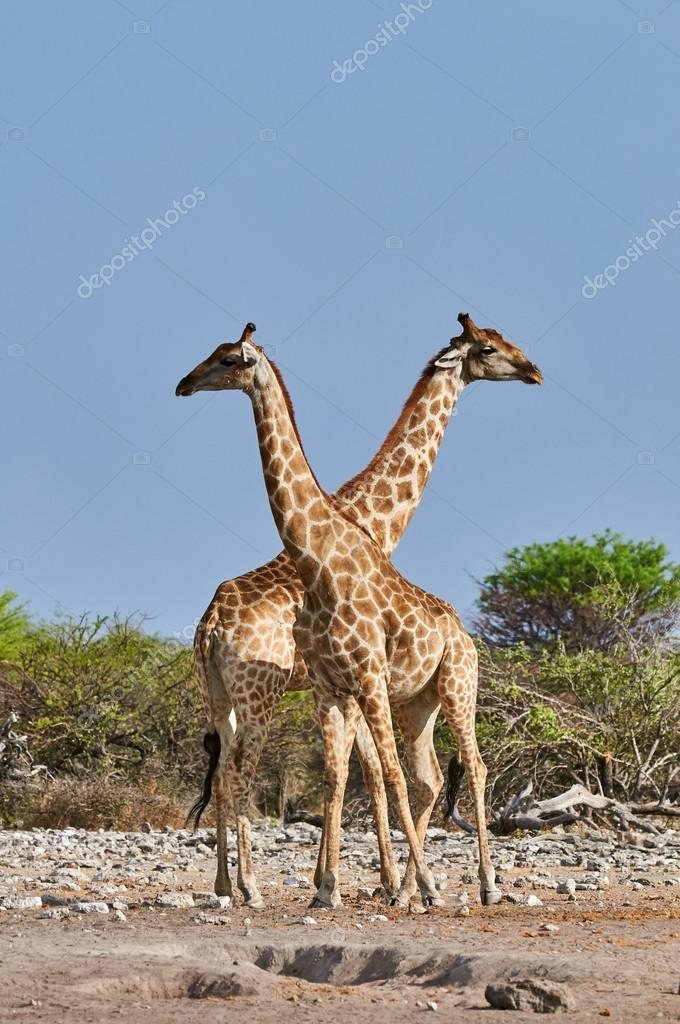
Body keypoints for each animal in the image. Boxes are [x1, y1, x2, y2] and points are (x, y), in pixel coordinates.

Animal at [176, 320, 542, 909]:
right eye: (490, 348)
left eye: (227, 357)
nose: (533, 370)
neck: (368, 521)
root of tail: (210, 623)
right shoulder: (349, 684)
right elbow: (367, 771)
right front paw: (375, 883)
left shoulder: (353, 685)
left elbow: (356, 771)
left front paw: (355, 881)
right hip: (260, 694)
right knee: (242, 772)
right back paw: (250, 887)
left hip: (227, 696)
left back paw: (230, 885)